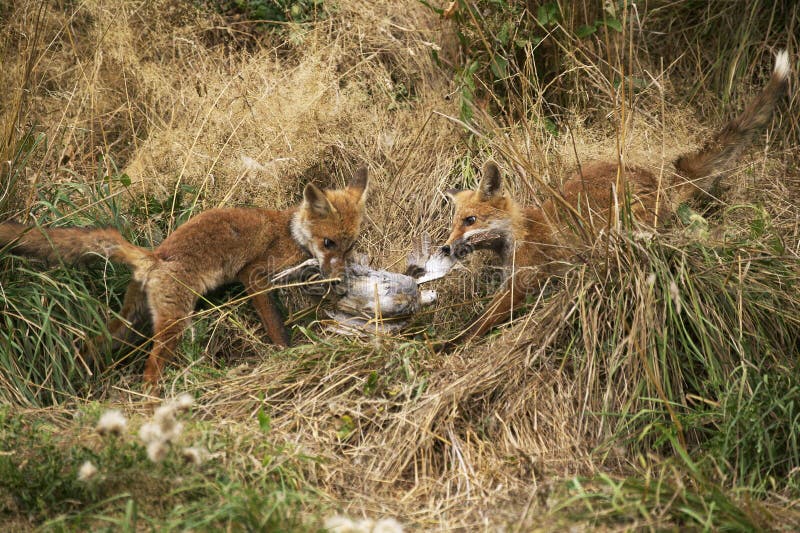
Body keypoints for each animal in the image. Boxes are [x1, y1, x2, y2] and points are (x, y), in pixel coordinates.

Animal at [0, 167, 368, 384]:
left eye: (350, 245)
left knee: (92, 343)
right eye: (328, 242)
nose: (338, 279)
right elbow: (276, 325)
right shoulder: (254, 275)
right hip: (174, 324)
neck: (291, 233)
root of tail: (155, 257)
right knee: (150, 371)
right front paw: (285, 354)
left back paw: (79, 379)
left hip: (129, 321)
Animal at [441, 50, 790, 346]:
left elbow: (477, 326)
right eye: (454, 224)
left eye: (470, 220)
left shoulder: (521, 286)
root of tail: (655, 181)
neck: (519, 233)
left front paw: (450, 345)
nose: (444, 247)